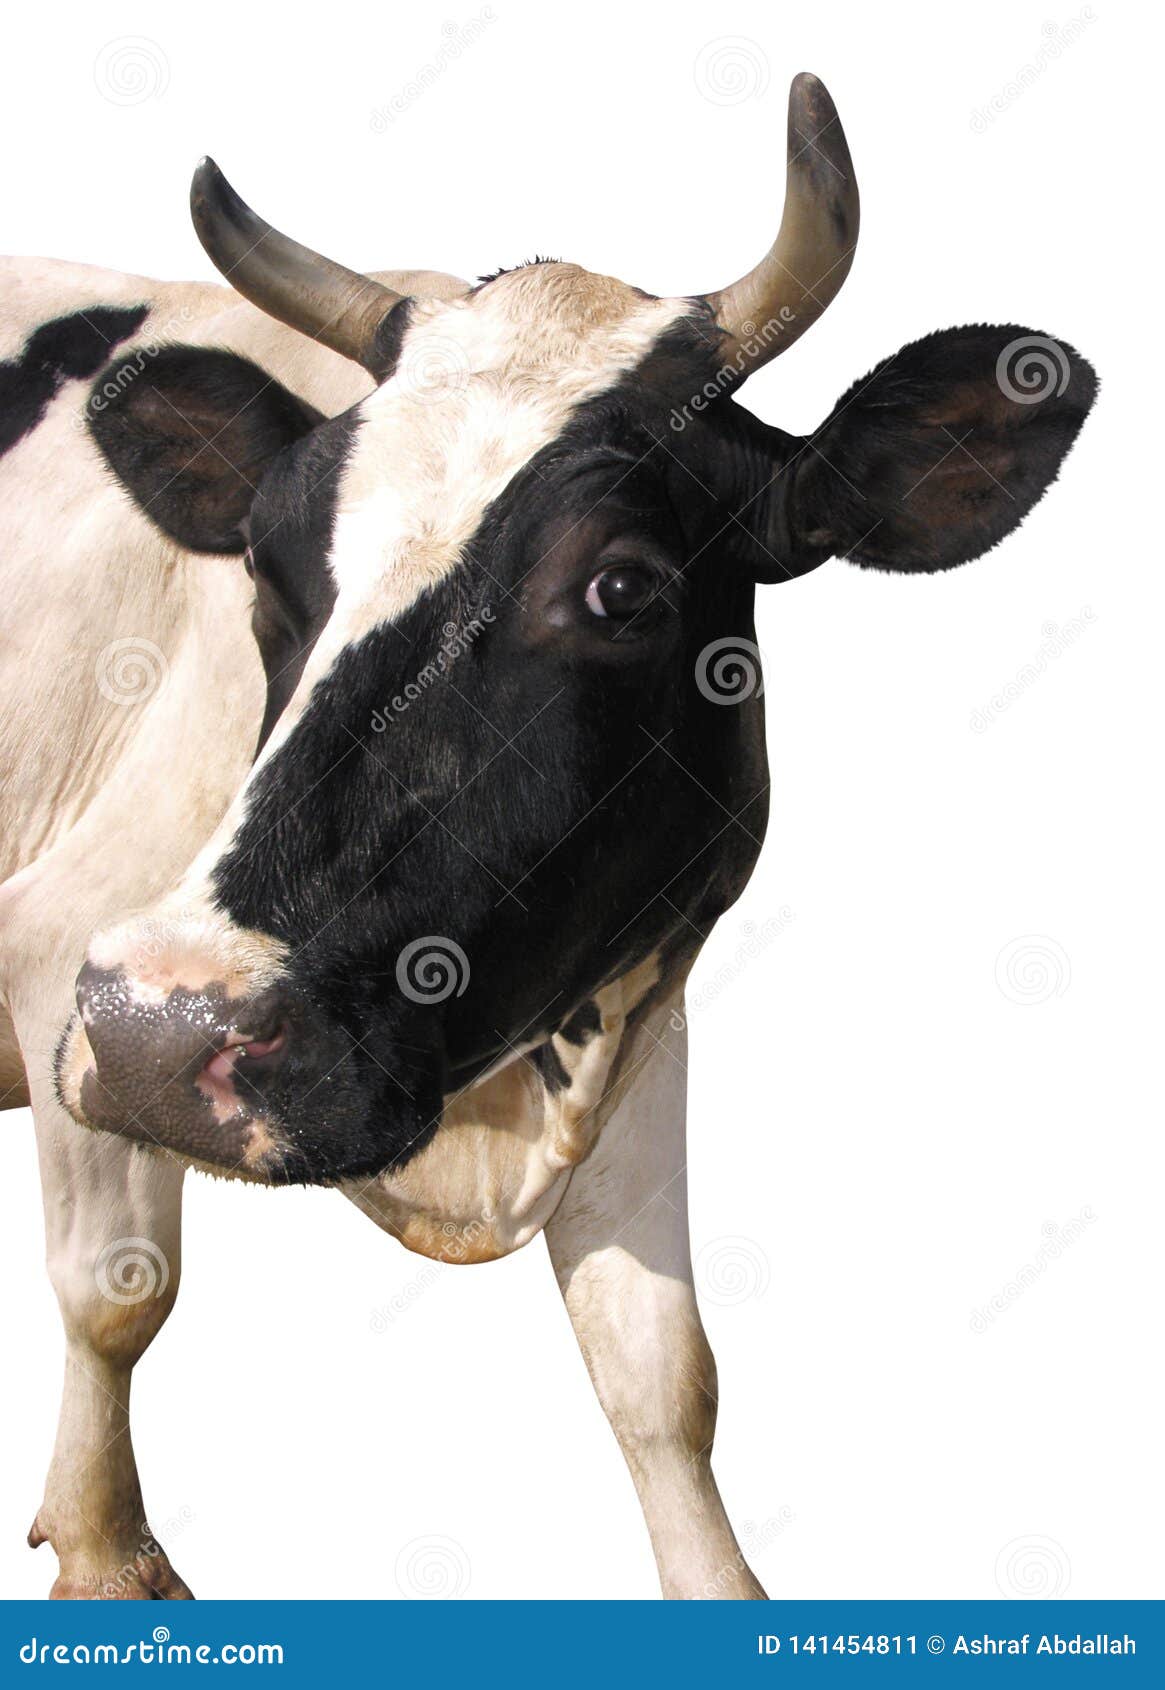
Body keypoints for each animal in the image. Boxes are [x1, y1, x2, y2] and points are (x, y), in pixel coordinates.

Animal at [0, 73, 1094, 1600]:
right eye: (266, 562)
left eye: (621, 587)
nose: (174, 1030)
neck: (485, 1122)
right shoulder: (71, 958)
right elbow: (115, 1291)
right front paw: (103, 1550)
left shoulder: (638, 1002)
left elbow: (661, 1371)